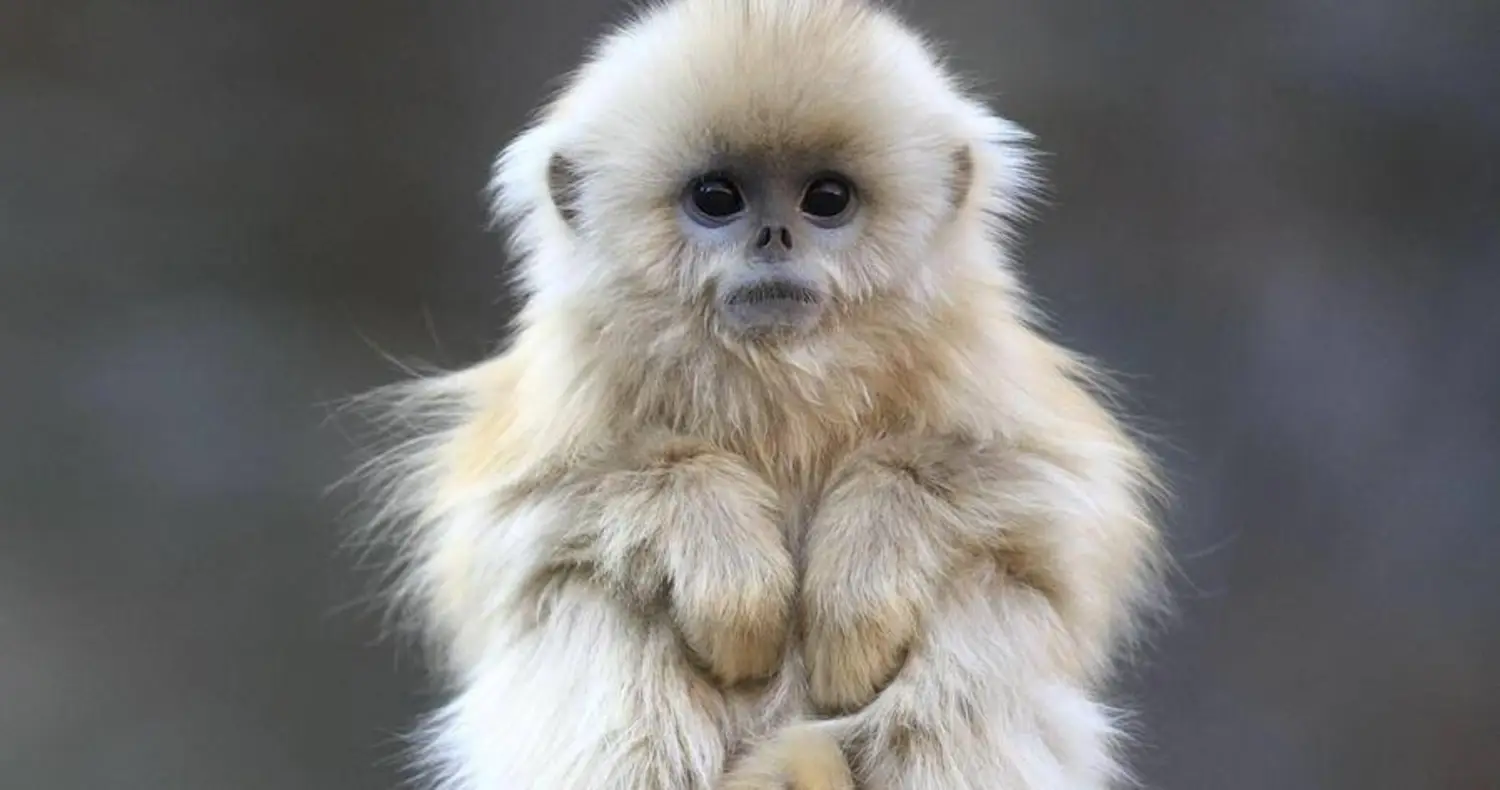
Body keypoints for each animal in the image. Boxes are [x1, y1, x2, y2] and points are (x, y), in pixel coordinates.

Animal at [352, 0, 1167, 788]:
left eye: (826, 198)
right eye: (717, 197)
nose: (774, 236)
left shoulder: (981, 365)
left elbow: (1053, 508)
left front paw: (856, 590)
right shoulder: (564, 389)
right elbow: (513, 531)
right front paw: (728, 571)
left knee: (984, 602)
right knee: (596, 603)